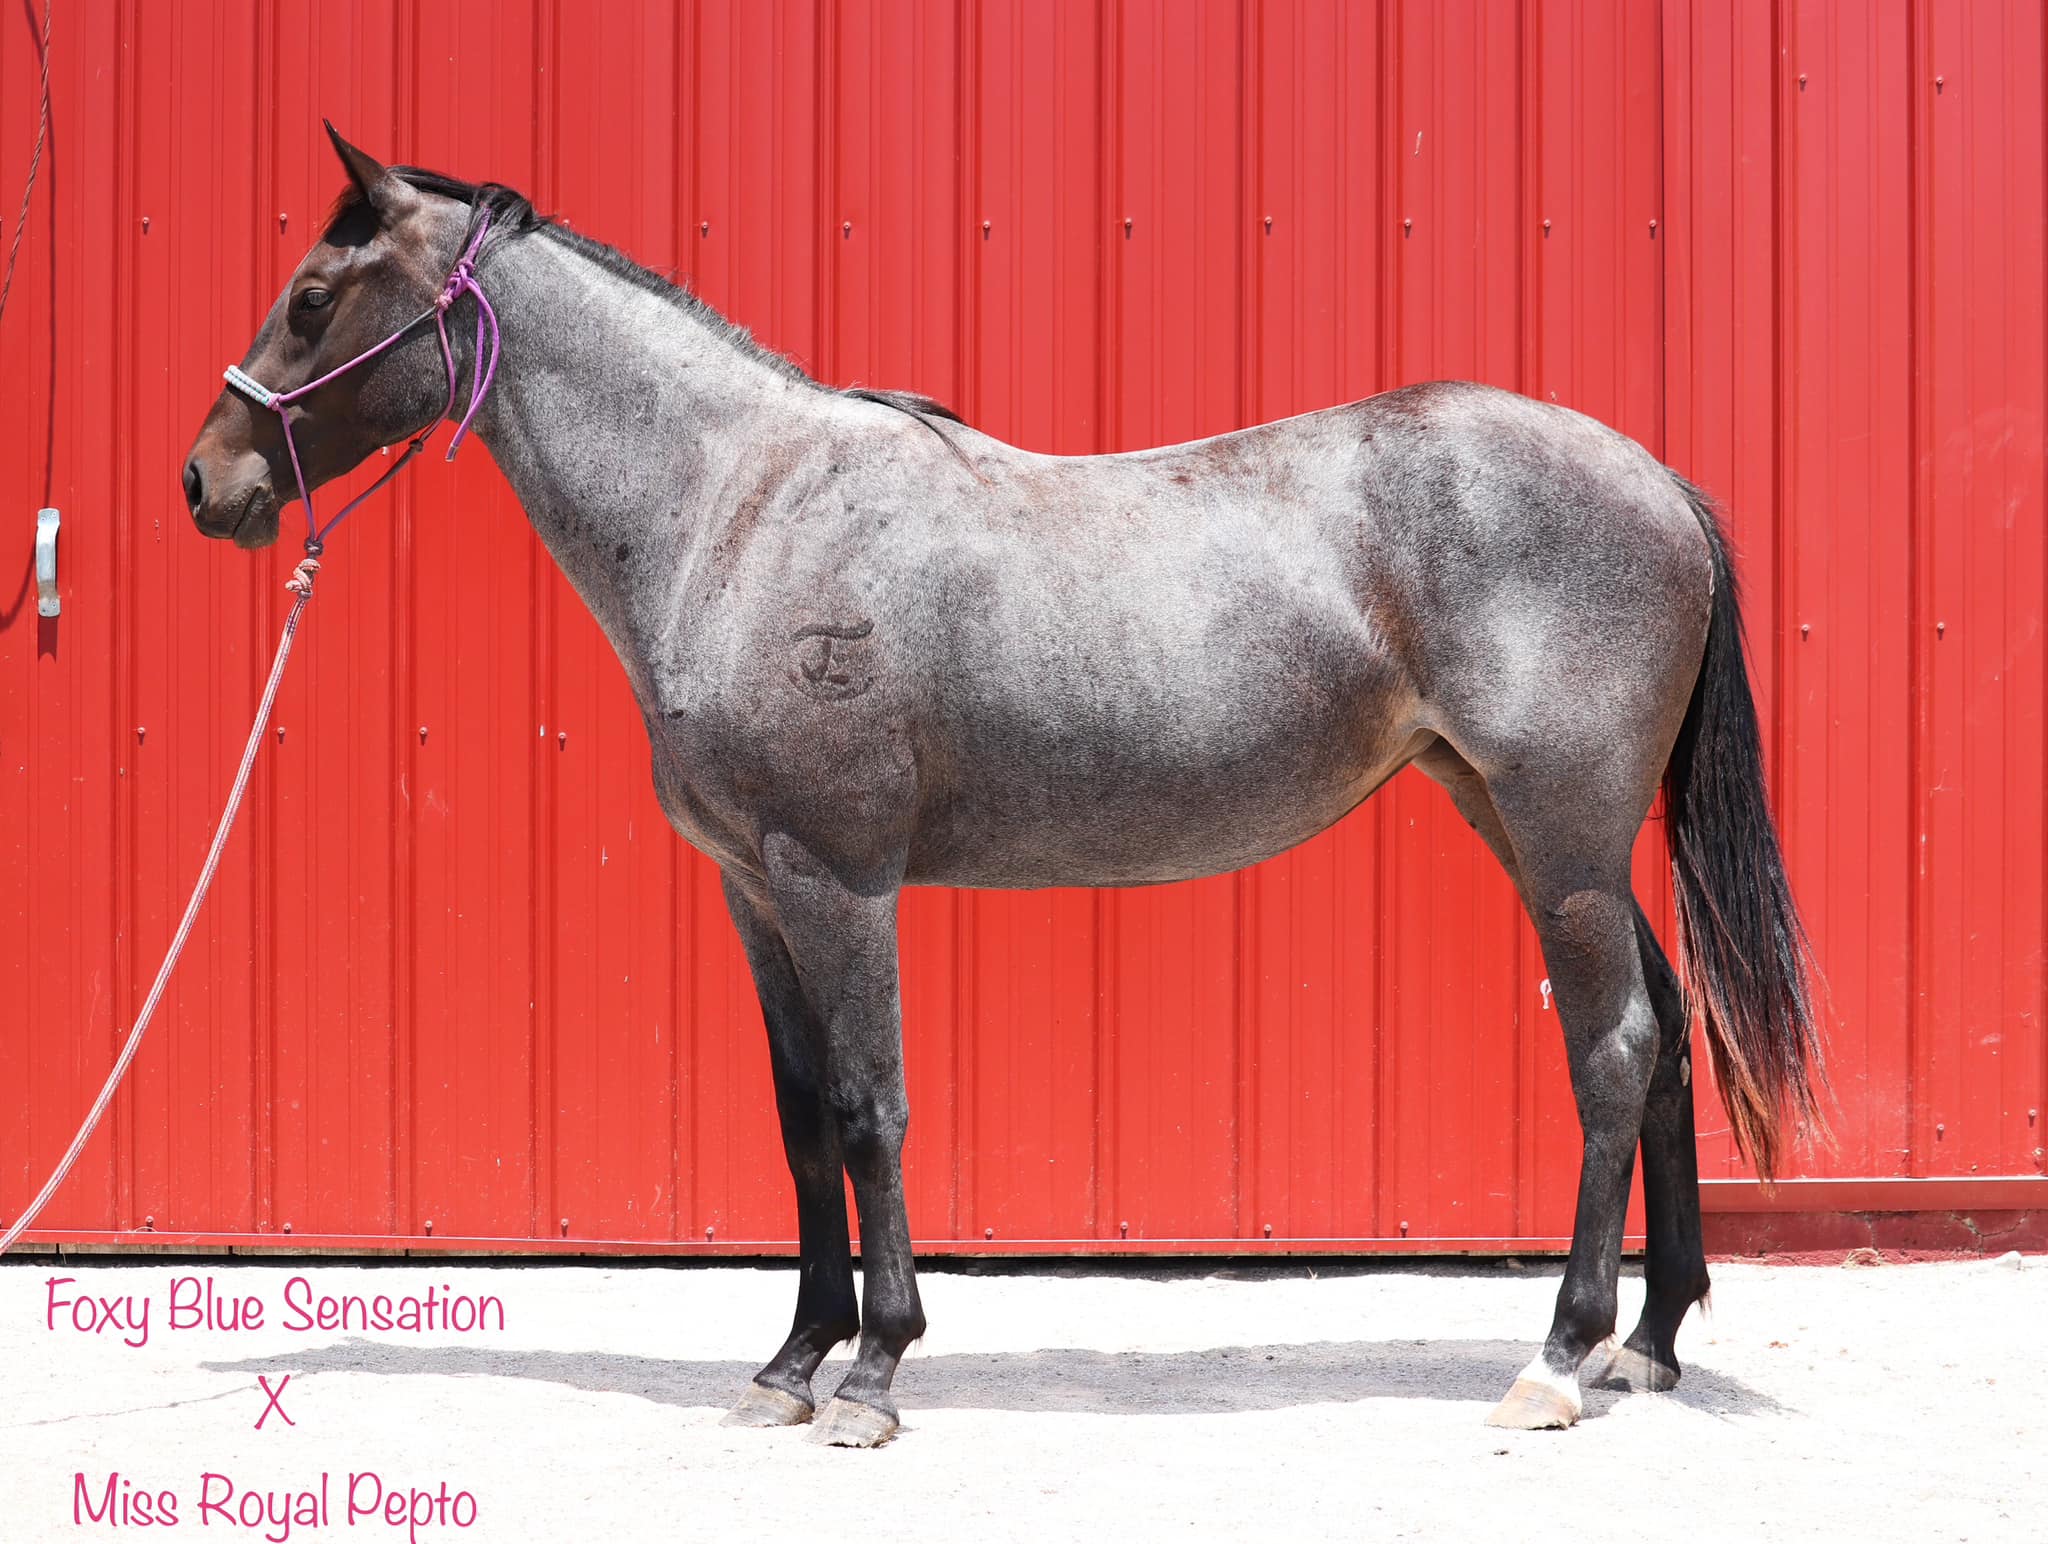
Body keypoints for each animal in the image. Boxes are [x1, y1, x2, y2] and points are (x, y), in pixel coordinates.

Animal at [182, 127, 1824, 1446]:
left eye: (314, 297)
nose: (208, 482)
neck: (738, 509)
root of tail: (1657, 481)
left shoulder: (836, 876)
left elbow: (869, 1104)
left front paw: (873, 1375)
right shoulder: (752, 883)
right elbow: (798, 1114)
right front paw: (790, 1361)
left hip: (1558, 832)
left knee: (1613, 1048)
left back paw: (1555, 1360)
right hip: (1534, 823)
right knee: (1667, 1036)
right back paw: (1648, 1345)